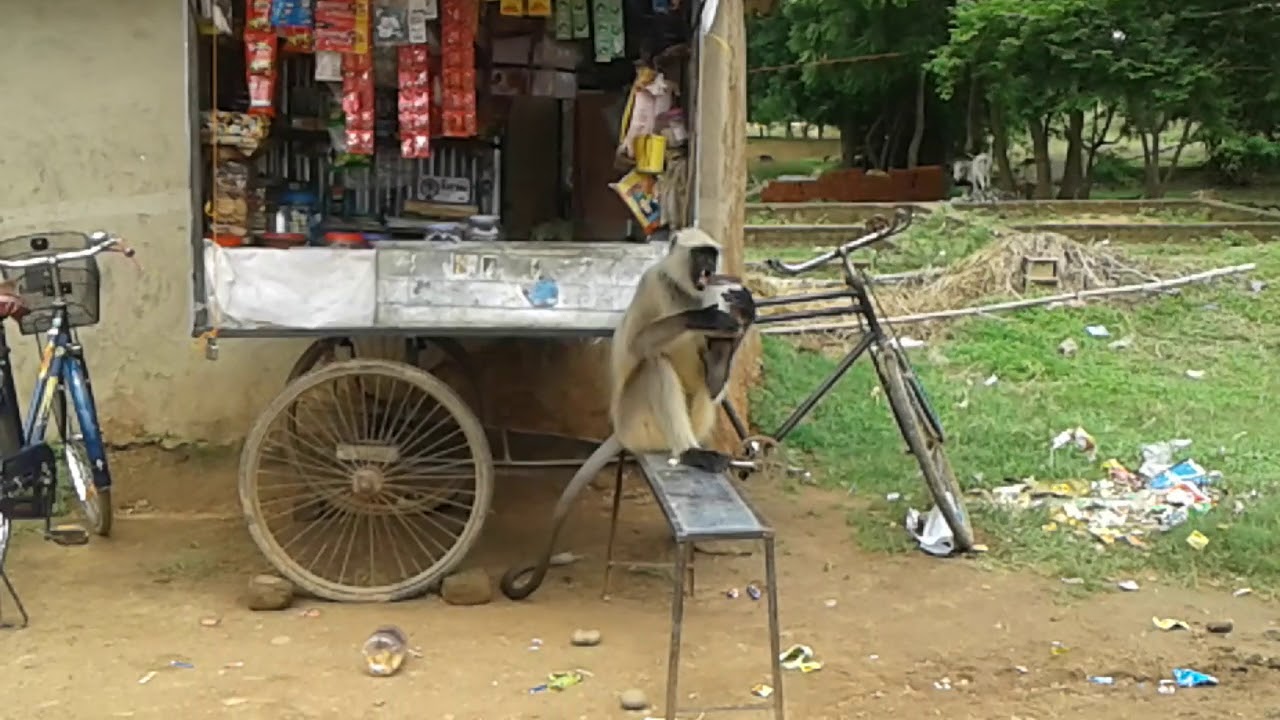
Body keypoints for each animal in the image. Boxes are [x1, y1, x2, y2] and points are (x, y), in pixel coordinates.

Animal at [499, 227, 755, 601]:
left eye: (712, 254)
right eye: (699, 254)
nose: (709, 266)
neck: (686, 293)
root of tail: (620, 430)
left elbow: (712, 376)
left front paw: (744, 313)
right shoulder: (652, 282)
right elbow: (638, 345)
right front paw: (703, 318)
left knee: (705, 388)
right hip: (638, 422)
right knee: (654, 364)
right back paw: (688, 452)